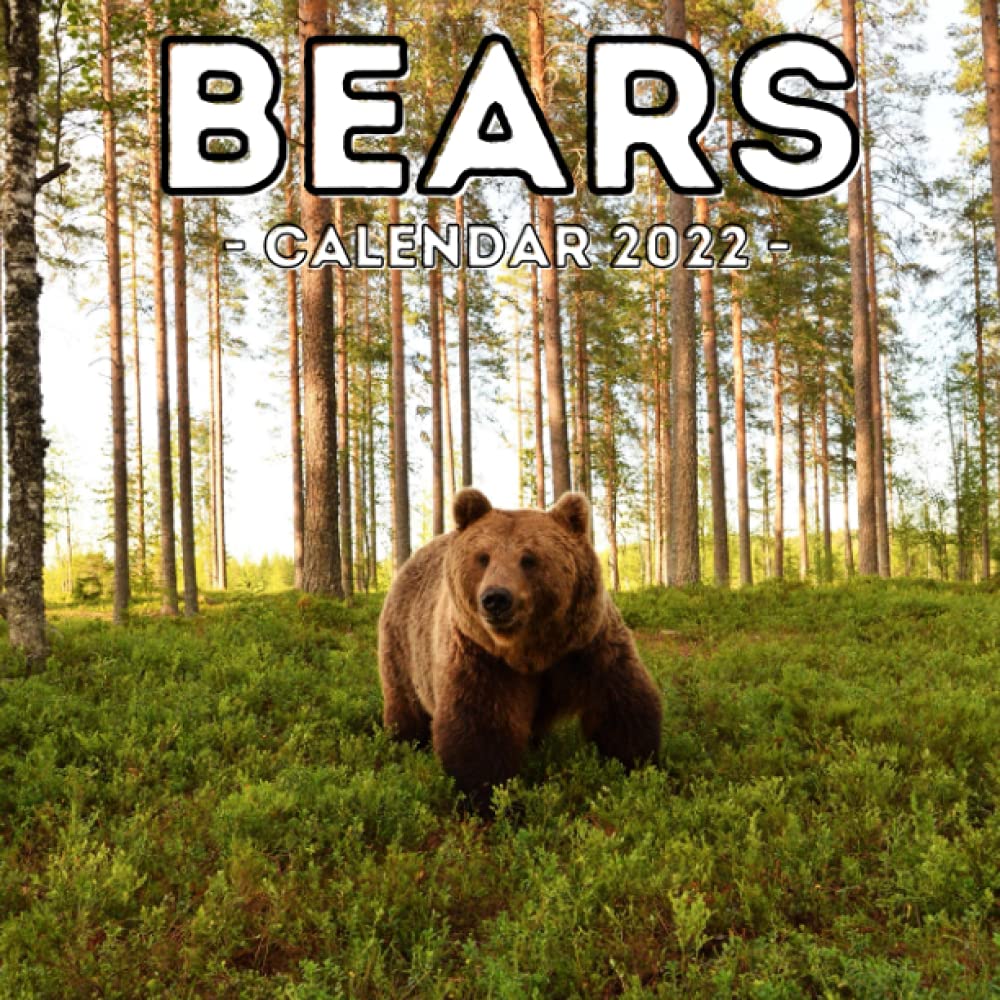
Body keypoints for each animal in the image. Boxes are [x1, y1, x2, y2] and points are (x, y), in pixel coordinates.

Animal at [377, 487, 663, 813]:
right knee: (405, 702)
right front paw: (490, 798)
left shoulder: (586, 645)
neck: (531, 650)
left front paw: (637, 764)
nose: (496, 598)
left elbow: (620, 703)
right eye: (483, 557)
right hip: (403, 647)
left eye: (529, 558)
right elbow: (480, 726)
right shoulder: (481, 656)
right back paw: (404, 743)